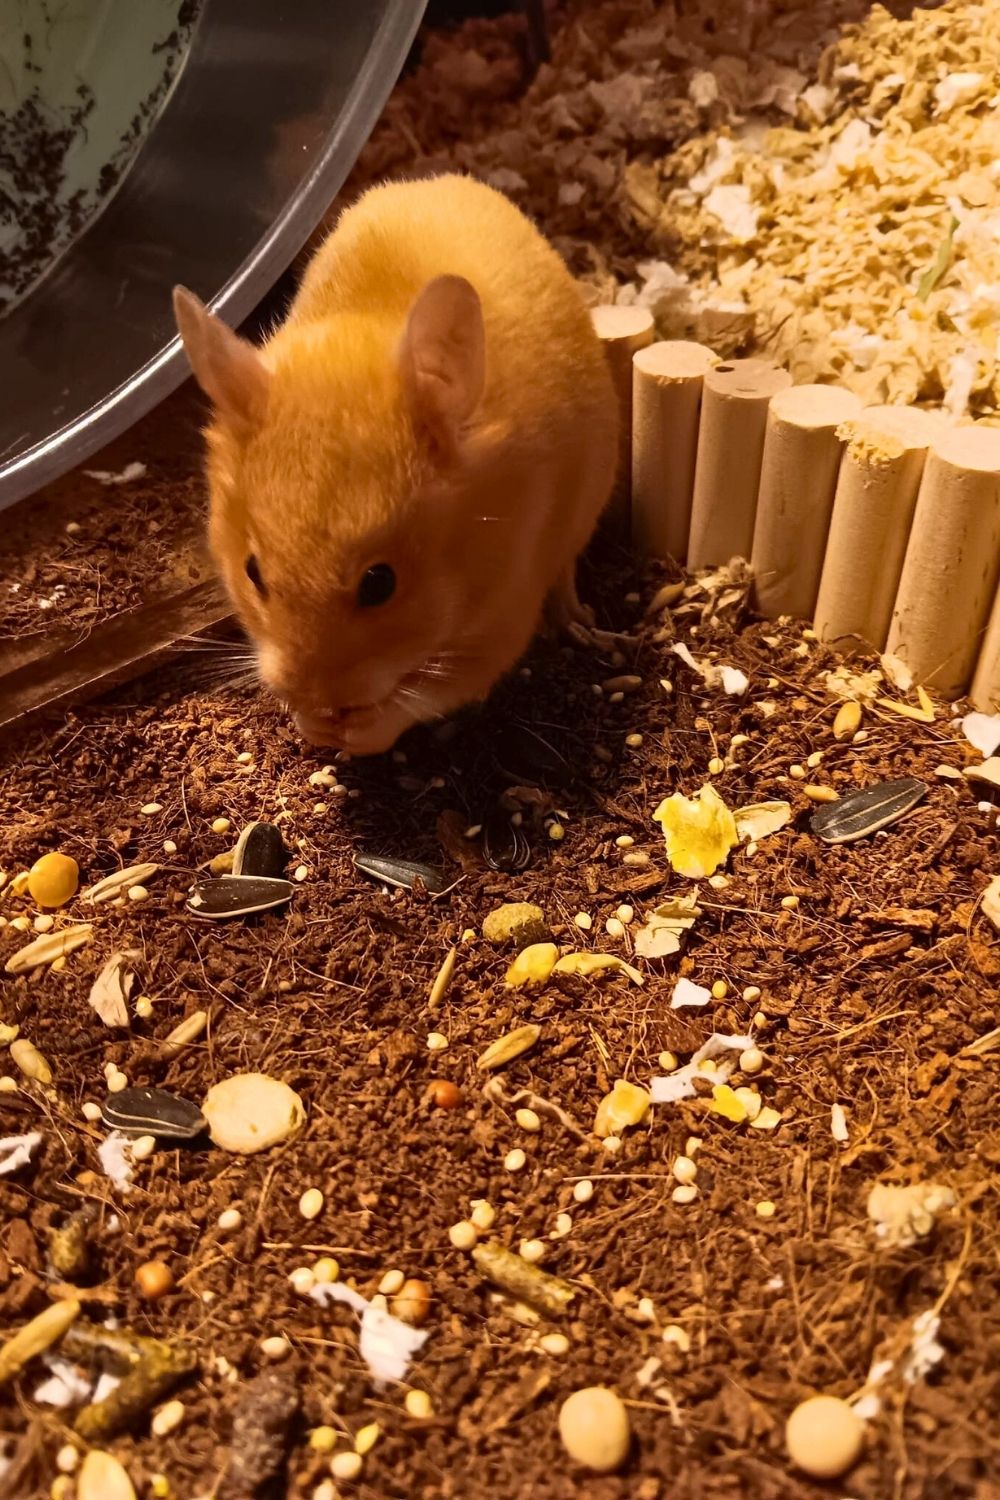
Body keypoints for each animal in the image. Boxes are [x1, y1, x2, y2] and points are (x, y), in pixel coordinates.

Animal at [173, 173, 617, 755]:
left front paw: (355, 732)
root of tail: (440, 180)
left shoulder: (499, 626)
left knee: (566, 571)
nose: (324, 697)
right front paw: (315, 723)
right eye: (252, 572)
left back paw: (578, 622)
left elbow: (423, 696)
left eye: (379, 583)